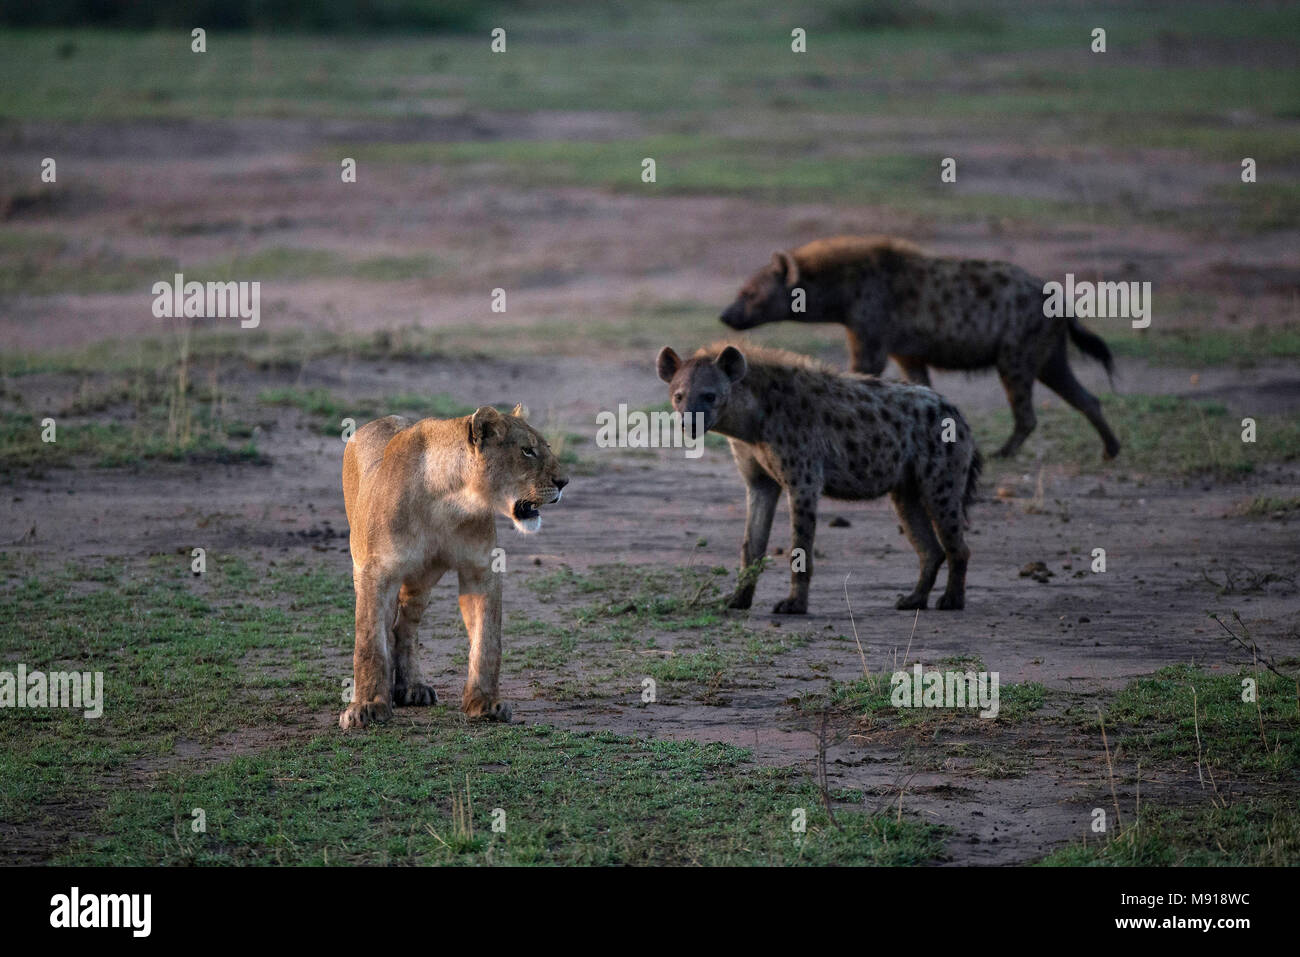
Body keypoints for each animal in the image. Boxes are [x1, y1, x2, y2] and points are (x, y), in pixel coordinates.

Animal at [339, 404, 569, 730]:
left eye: (546, 448)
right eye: (527, 451)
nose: (564, 482)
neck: (447, 502)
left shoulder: (480, 569)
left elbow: (487, 642)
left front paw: (484, 703)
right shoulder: (377, 572)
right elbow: (369, 642)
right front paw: (368, 707)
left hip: (421, 579)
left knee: (403, 627)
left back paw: (413, 688)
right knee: (386, 627)